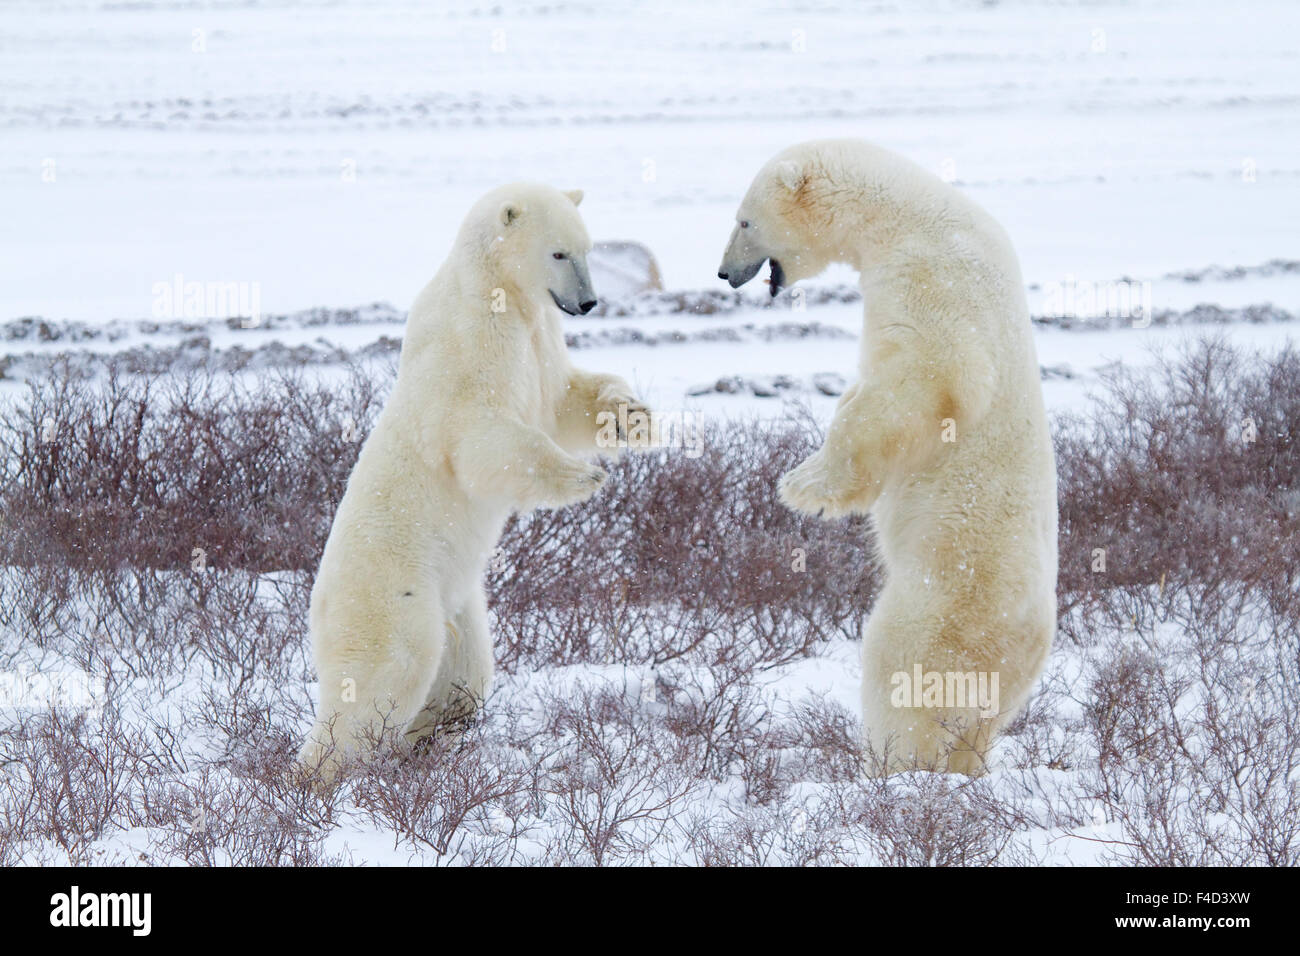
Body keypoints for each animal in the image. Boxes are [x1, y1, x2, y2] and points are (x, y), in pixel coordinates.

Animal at [297, 182, 647, 783]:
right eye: (559, 253)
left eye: (588, 249)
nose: (587, 303)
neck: (496, 287)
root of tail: (317, 605)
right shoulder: (472, 341)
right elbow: (480, 438)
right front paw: (583, 475)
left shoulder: (539, 336)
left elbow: (563, 399)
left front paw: (633, 416)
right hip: (395, 598)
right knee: (383, 679)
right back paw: (322, 775)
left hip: (459, 603)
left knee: (464, 677)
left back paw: (427, 739)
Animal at [718, 139, 1058, 776]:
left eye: (744, 220)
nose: (724, 273)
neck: (905, 215)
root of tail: (1022, 644)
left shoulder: (934, 278)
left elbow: (931, 375)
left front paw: (806, 486)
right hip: (1008, 677)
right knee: (979, 728)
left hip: (945, 602)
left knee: (904, 675)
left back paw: (889, 767)